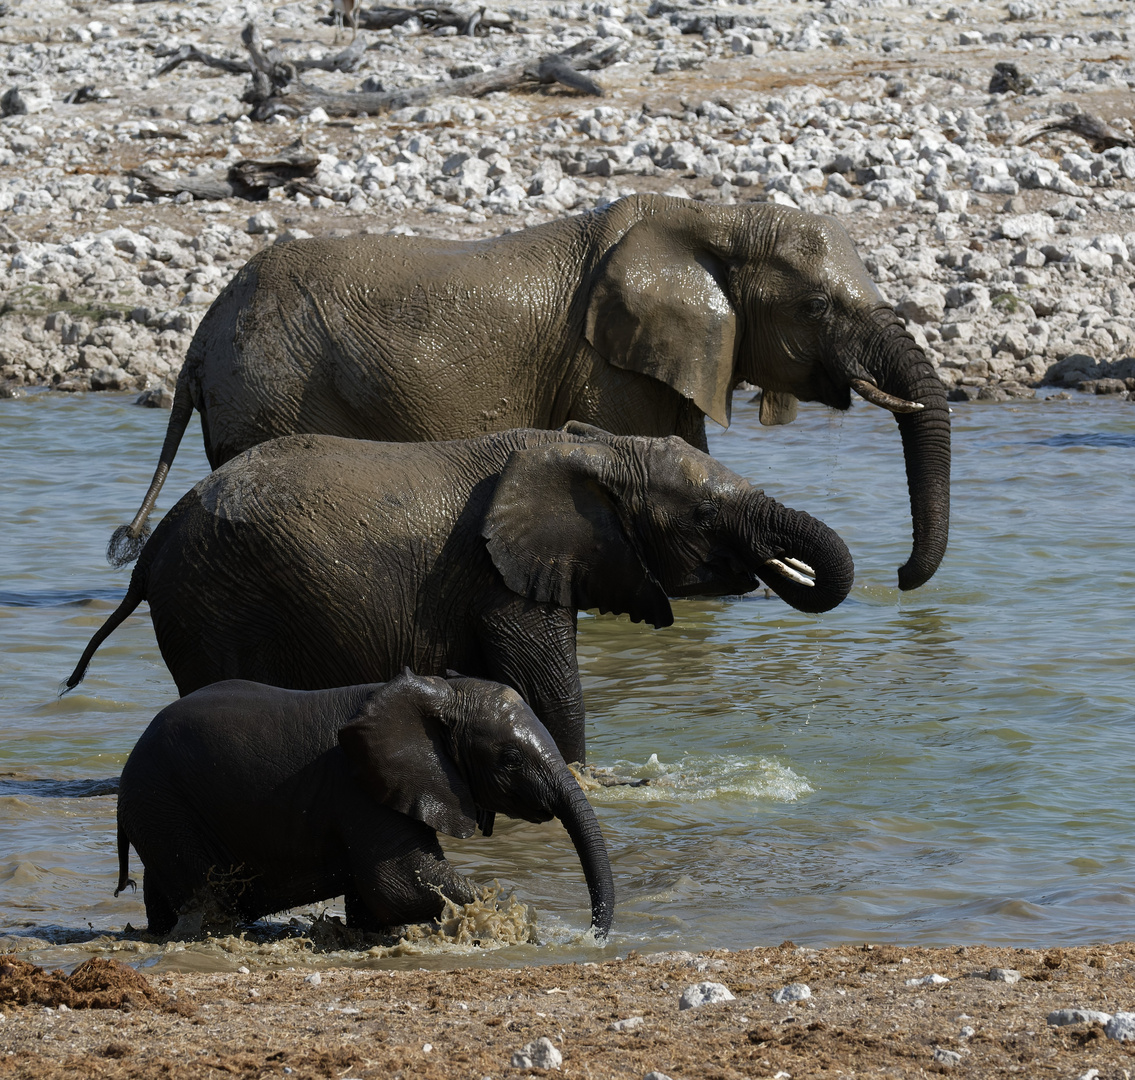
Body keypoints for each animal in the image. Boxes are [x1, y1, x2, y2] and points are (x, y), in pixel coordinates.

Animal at [70, 426, 853, 762]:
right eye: (703, 517)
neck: (594, 448)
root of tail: (153, 545)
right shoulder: (497, 580)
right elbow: (552, 693)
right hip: (209, 599)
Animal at [112, 191, 948, 589]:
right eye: (817, 307)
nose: (900, 577)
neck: (712, 216)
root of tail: (199, 336)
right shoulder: (607, 365)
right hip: (269, 386)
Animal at [114, 676, 612, 934]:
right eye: (509, 759)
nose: (594, 935)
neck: (440, 690)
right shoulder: (361, 792)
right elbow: (401, 882)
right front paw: (508, 916)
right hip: (163, 806)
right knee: (210, 900)